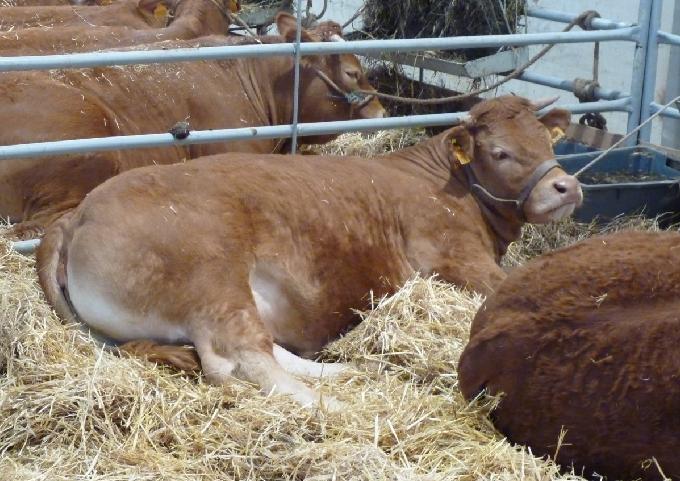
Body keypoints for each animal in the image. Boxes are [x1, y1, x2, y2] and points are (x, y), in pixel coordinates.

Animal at [36, 95, 583, 410]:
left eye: (546, 140)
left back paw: (349, 372)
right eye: (501, 153)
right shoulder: (458, 255)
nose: (566, 187)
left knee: (264, 349)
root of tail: (78, 213)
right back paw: (338, 405)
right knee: (241, 361)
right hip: (212, 279)